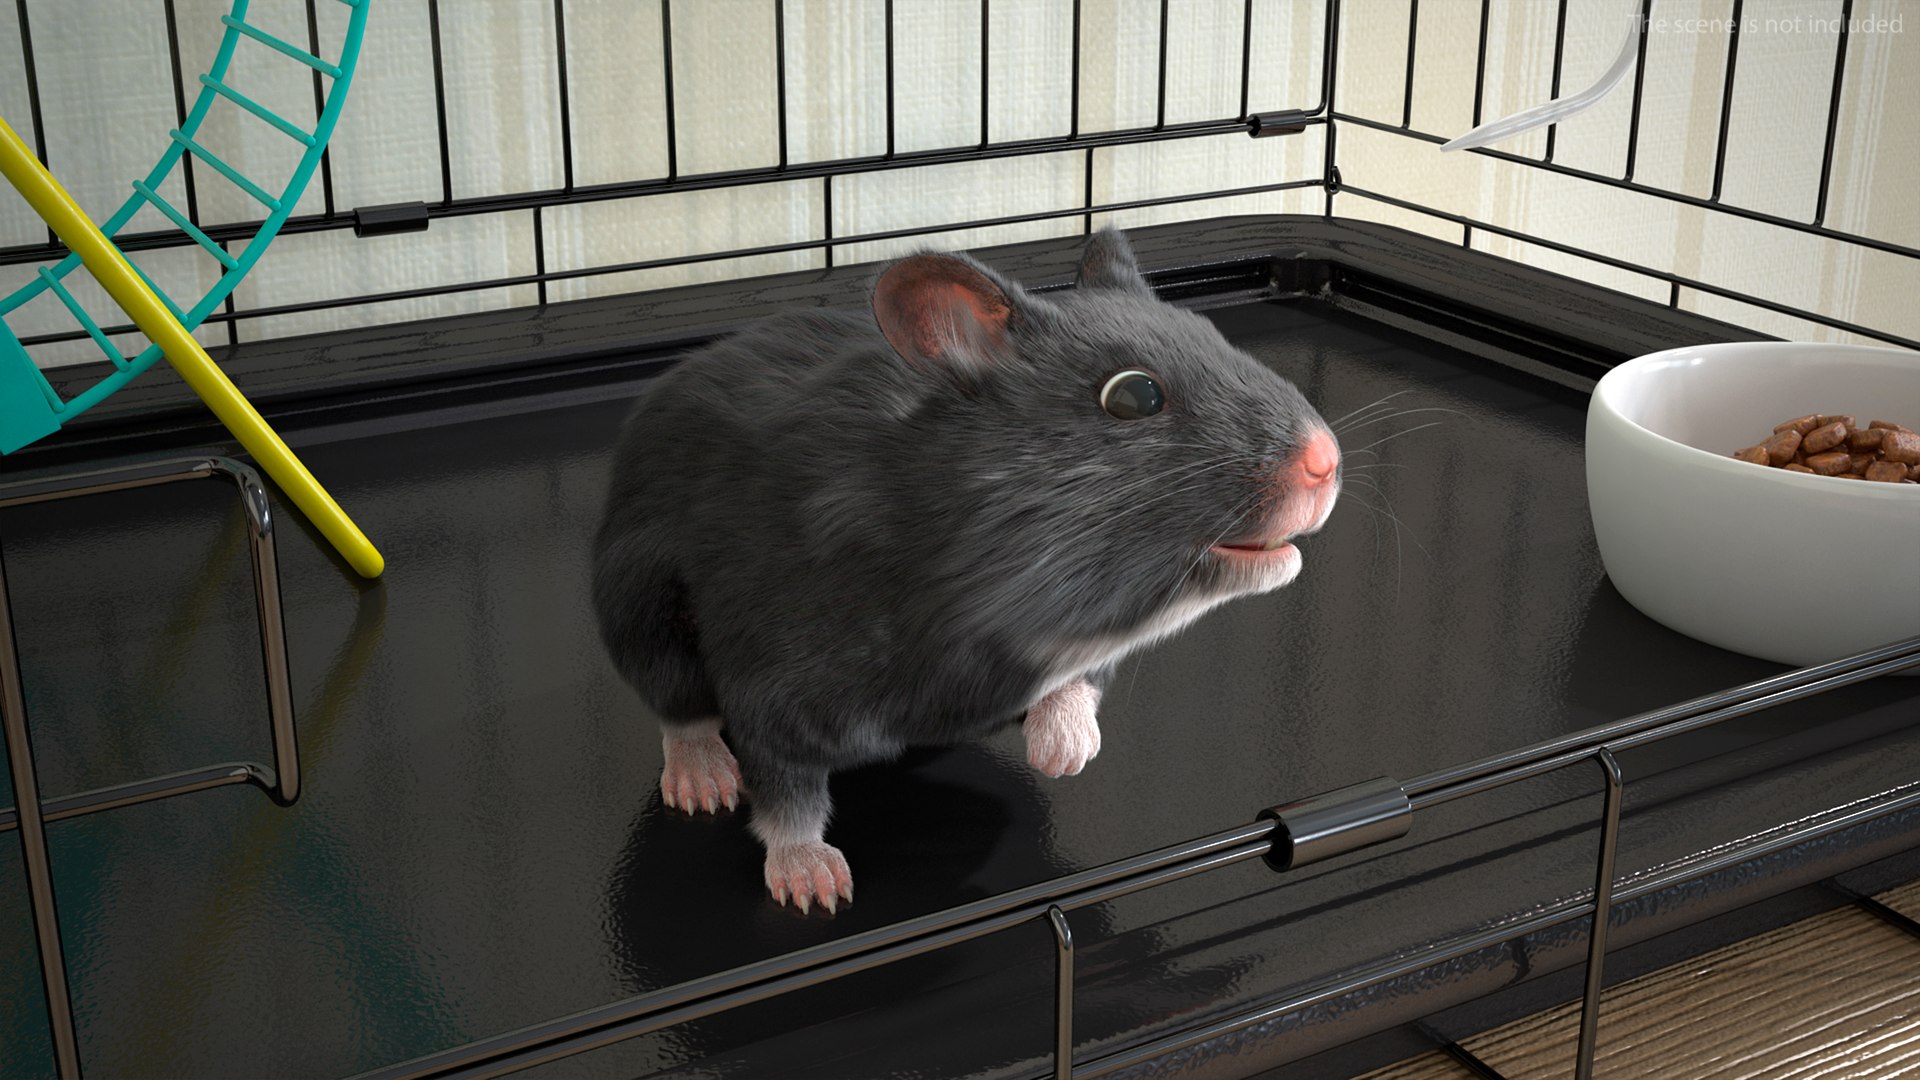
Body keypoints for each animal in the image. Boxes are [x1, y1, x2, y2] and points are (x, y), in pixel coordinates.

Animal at [591, 229, 1340, 914]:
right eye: (1135, 398)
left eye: (1214, 336)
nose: (1326, 461)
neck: (998, 606)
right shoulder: (773, 694)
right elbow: (787, 798)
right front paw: (813, 885)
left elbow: (1076, 685)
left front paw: (1065, 751)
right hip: (641, 618)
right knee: (681, 708)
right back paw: (702, 779)